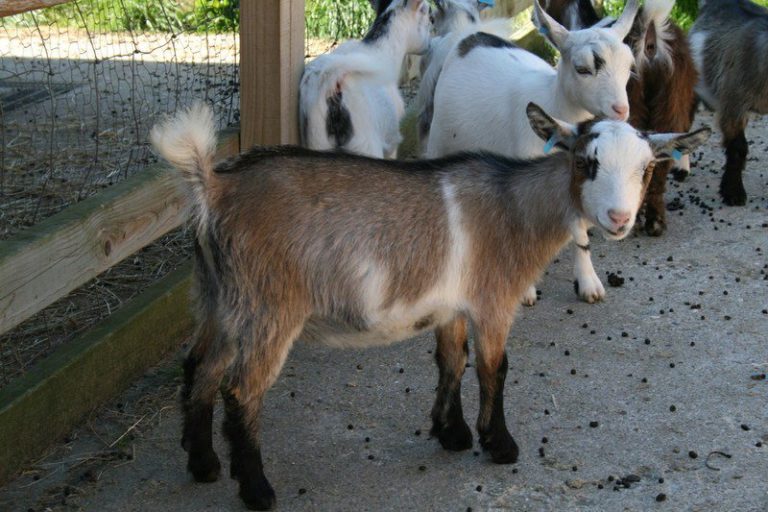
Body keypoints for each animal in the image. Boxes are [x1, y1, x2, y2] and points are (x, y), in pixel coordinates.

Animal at [150, 101, 709, 511]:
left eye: (645, 168)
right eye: (584, 162)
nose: (618, 218)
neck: (516, 209)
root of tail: (214, 187)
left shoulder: (451, 307)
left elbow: (450, 363)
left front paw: (451, 432)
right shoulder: (492, 302)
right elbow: (494, 368)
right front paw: (499, 444)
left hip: (219, 298)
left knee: (199, 366)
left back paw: (203, 464)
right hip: (269, 305)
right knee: (241, 388)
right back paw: (257, 490)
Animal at [299, 0, 430, 158]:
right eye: (426, 12)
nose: (429, 45)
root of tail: (333, 84)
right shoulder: (391, 139)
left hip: (318, 140)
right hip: (366, 144)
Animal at [426, 0, 638, 305]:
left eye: (629, 67)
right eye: (583, 68)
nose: (620, 111)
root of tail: (470, 36)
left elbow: (579, 231)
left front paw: (588, 283)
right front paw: (525, 290)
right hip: (440, 135)